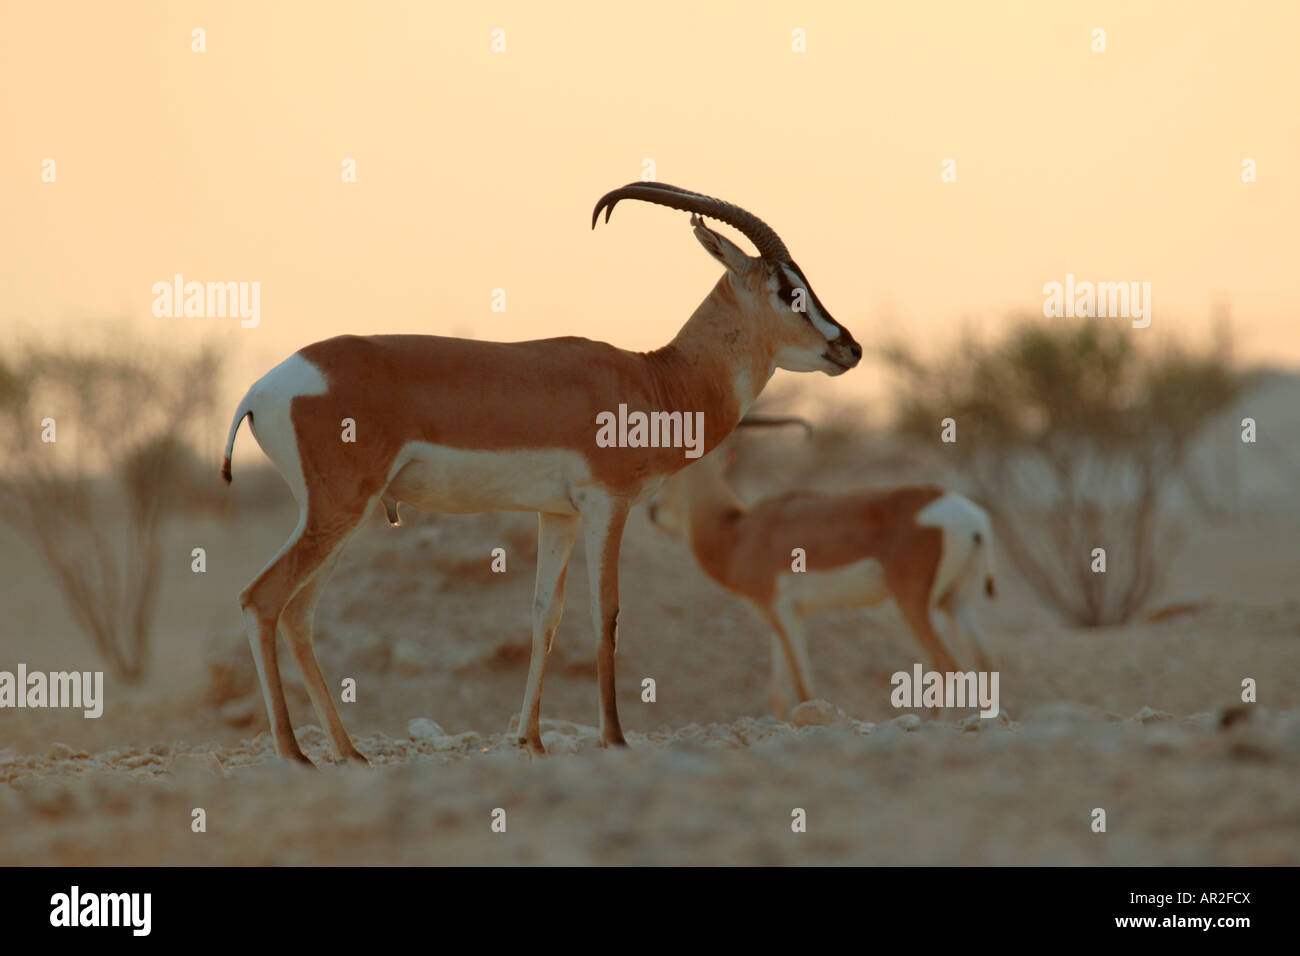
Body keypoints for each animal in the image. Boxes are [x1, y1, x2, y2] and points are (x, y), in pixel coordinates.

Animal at [220, 183, 862, 764]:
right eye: (789, 289)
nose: (849, 348)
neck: (656, 382)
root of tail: (261, 388)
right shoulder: (608, 503)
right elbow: (606, 611)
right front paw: (614, 738)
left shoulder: (558, 515)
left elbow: (544, 614)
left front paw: (531, 740)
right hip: (336, 512)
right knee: (260, 598)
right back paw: (294, 754)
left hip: (339, 519)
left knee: (298, 613)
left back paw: (349, 753)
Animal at [647, 418, 997, 720]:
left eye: (670, 474)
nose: (653, 511)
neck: (738, 532)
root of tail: (971, 518)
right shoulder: (782, 617)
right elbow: (778, 692)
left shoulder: (782, 610)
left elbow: (804, 688)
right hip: (955, 602)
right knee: (984, 666)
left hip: (913, 604)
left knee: (947, 668)